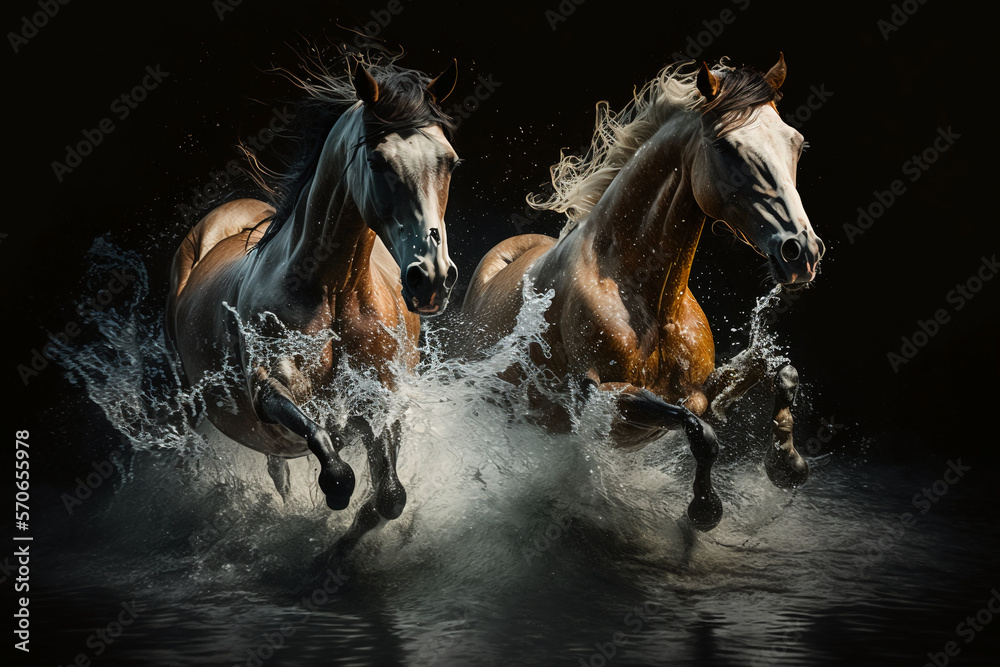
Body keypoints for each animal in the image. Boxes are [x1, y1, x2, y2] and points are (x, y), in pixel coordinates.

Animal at [165, 54, 462, 549]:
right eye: (378, 160)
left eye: (450, 161)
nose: (432, 279)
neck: (335, 293)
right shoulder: (269, 389)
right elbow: (335, 466)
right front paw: (333, 504)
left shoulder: (380, 399)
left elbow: (389, 496)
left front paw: (339, 547)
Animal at [460, 55, 825, 531]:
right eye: (726, 147)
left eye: (796, 143)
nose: (801, 251)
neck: (650, 300)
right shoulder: (606, 397)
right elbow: (701, 432)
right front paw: (704, 509)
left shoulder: (701, 390)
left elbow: (780, 372)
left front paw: (787, 464)